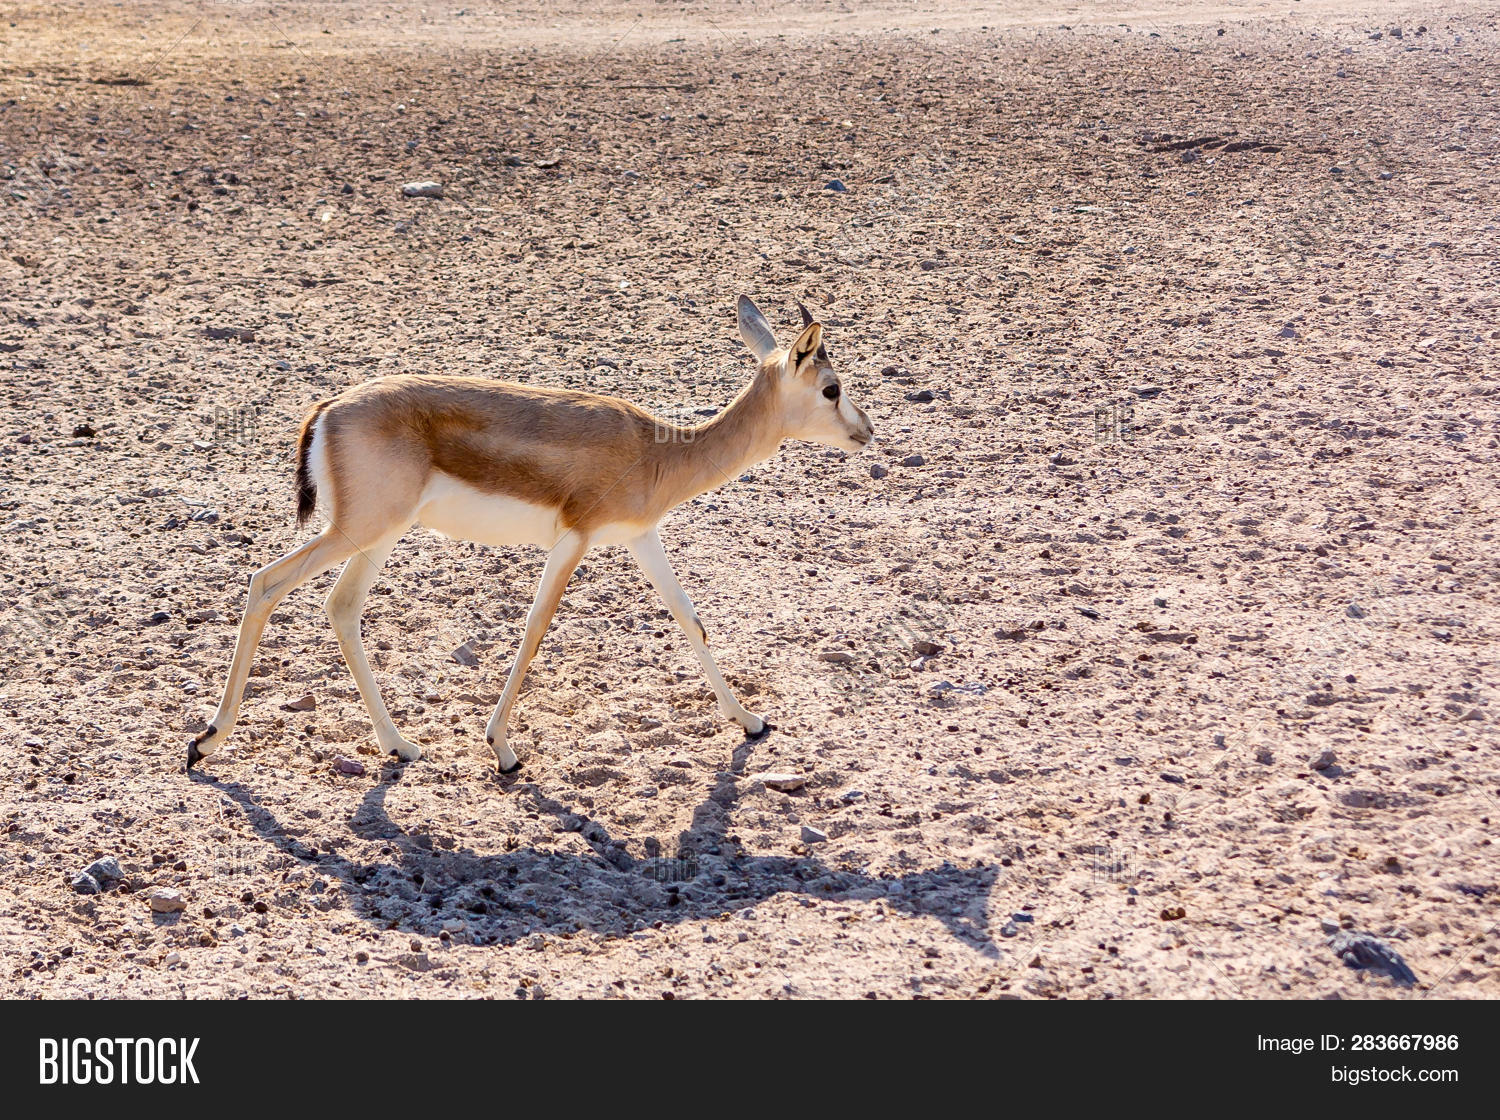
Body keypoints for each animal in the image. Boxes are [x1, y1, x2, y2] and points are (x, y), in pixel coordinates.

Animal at [188, 296, 874, 773]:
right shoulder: (574, 540)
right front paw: (502, 750)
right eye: (831, 387)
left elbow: (690, 618)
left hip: (378, 536)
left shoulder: (640, 537)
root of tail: (327, 409)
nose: (866, 432)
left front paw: (751, 720)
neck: (657, 451)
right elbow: (535, 630)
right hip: (357, 529)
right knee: (265, 581)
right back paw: (206, 741)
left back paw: (399, 744)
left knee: (340, 606)